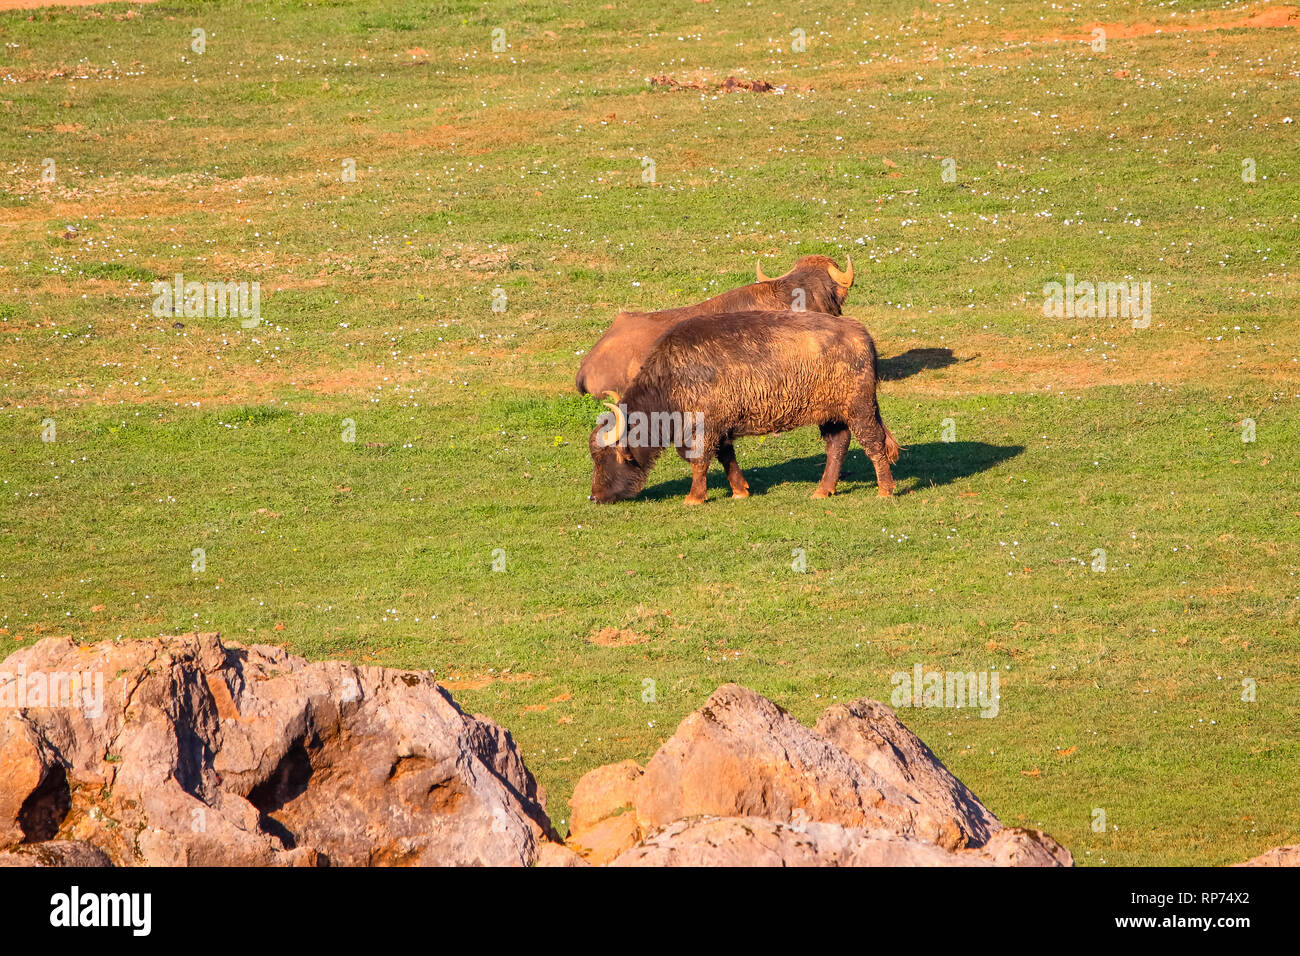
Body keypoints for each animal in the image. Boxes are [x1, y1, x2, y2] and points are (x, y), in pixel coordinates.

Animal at [588, 310, 899, 505]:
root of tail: (860, 333)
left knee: (874, 443)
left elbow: (700, 462)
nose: (596, 496)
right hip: (833, 417)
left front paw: (693, 498)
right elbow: (727, 458)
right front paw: (740, 491)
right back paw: (822, 491)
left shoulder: (705, 430)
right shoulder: (722, 431)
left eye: (603, 458)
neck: (671, 378)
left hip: (860, 411)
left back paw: (885, 491)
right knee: (838, 445)